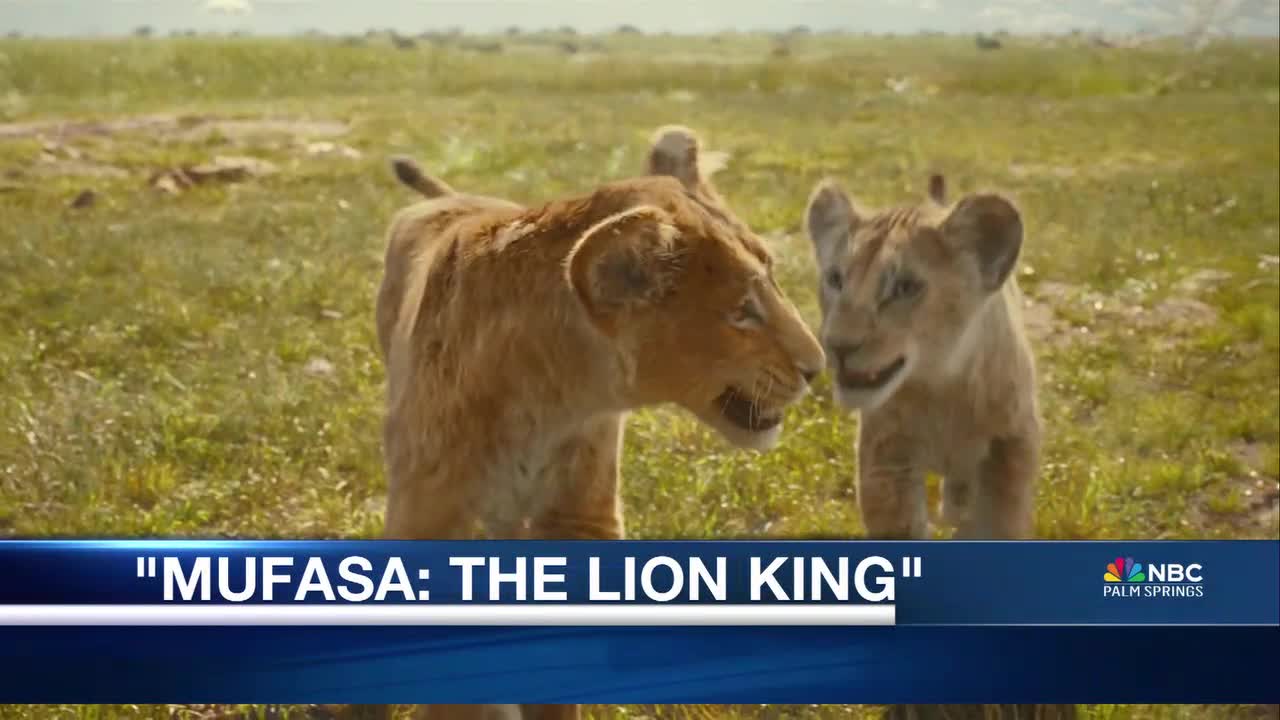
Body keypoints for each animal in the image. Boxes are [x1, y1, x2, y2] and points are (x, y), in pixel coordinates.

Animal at [804, 173, 1041, 540]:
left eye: (905, 287)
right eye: (835, 279)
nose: (837, 345)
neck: (941, 387)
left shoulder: (1011, 444)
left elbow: (1000, 520)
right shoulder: (886, 457)